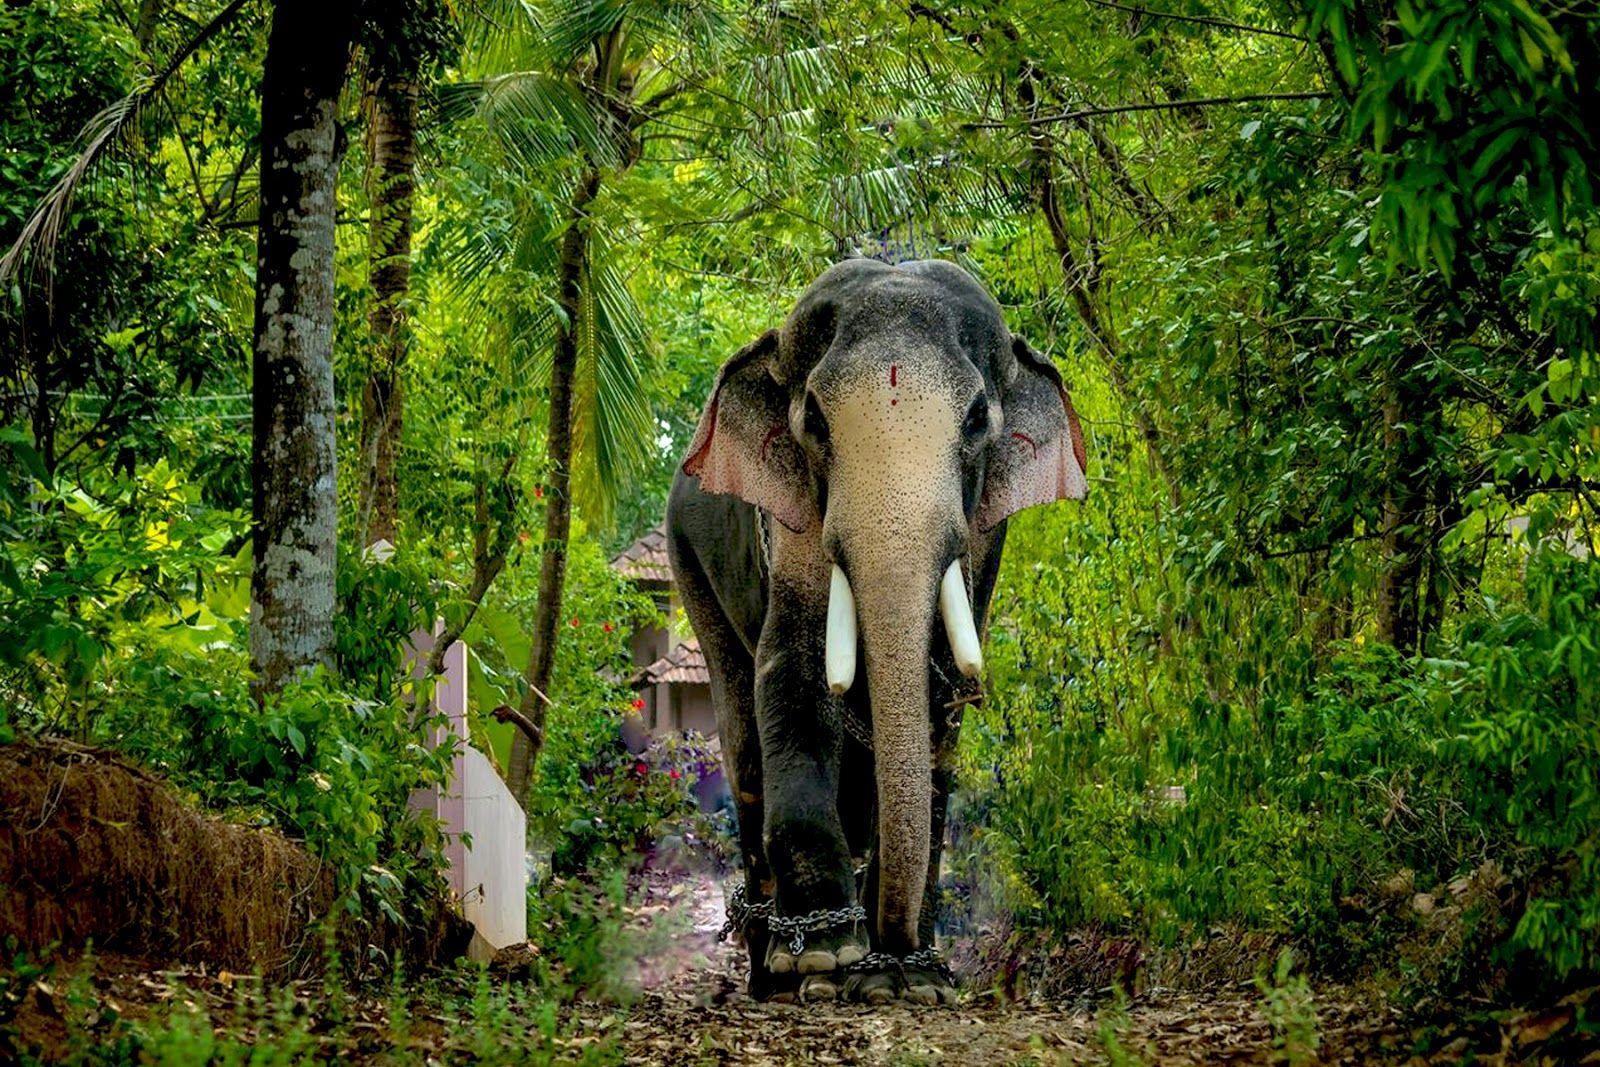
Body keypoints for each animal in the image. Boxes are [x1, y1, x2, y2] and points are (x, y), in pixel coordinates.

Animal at [665, 258, 1087, 1004]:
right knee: (742, 733)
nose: (893, 949)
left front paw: (908, 981)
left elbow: (937, 697)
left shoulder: (986, 532)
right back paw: (772, 975)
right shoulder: (793, 519)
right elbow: (796, 669)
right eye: (812, 418)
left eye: (978, 418)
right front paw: (821, 958)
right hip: (687, 559)